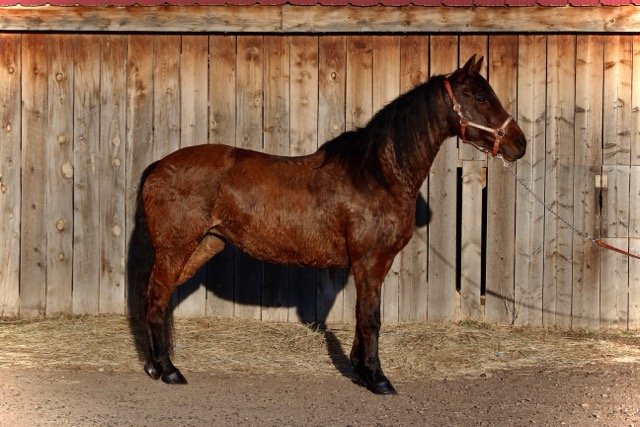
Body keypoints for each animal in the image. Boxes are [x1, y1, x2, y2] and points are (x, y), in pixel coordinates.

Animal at [136, 55, 526, 395]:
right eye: (479, 96)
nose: (519, 143)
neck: (375, 174)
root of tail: (158, 166)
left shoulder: (372, 265)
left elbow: (362, 317)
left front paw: (361, 370)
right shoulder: (370, 261)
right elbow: (371, 318)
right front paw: (378, 379)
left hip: (204, 245)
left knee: (157, 298)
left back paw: (156, 366)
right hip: (176, 249)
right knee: (156, 298)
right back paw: (168, 370)